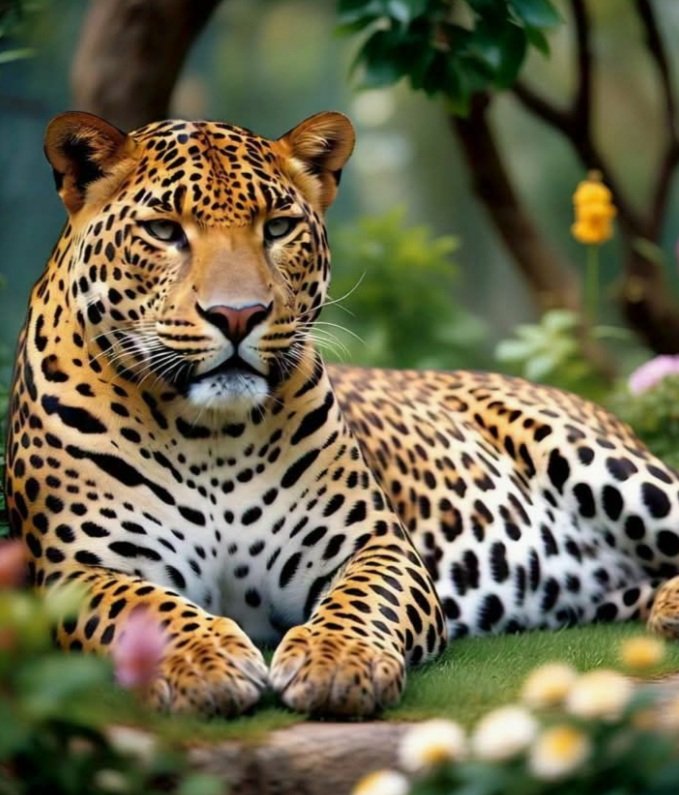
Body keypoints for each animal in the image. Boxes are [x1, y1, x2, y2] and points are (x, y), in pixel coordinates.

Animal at [5, 109, 679, 718]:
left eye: (278, 228)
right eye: (165, 231)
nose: (238, 315)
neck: (208, 435)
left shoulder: (372, 544)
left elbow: (363, 601)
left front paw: (336, 662)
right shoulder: (81, 570)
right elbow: (146, 609)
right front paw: (203, 663)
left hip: (596, 459)